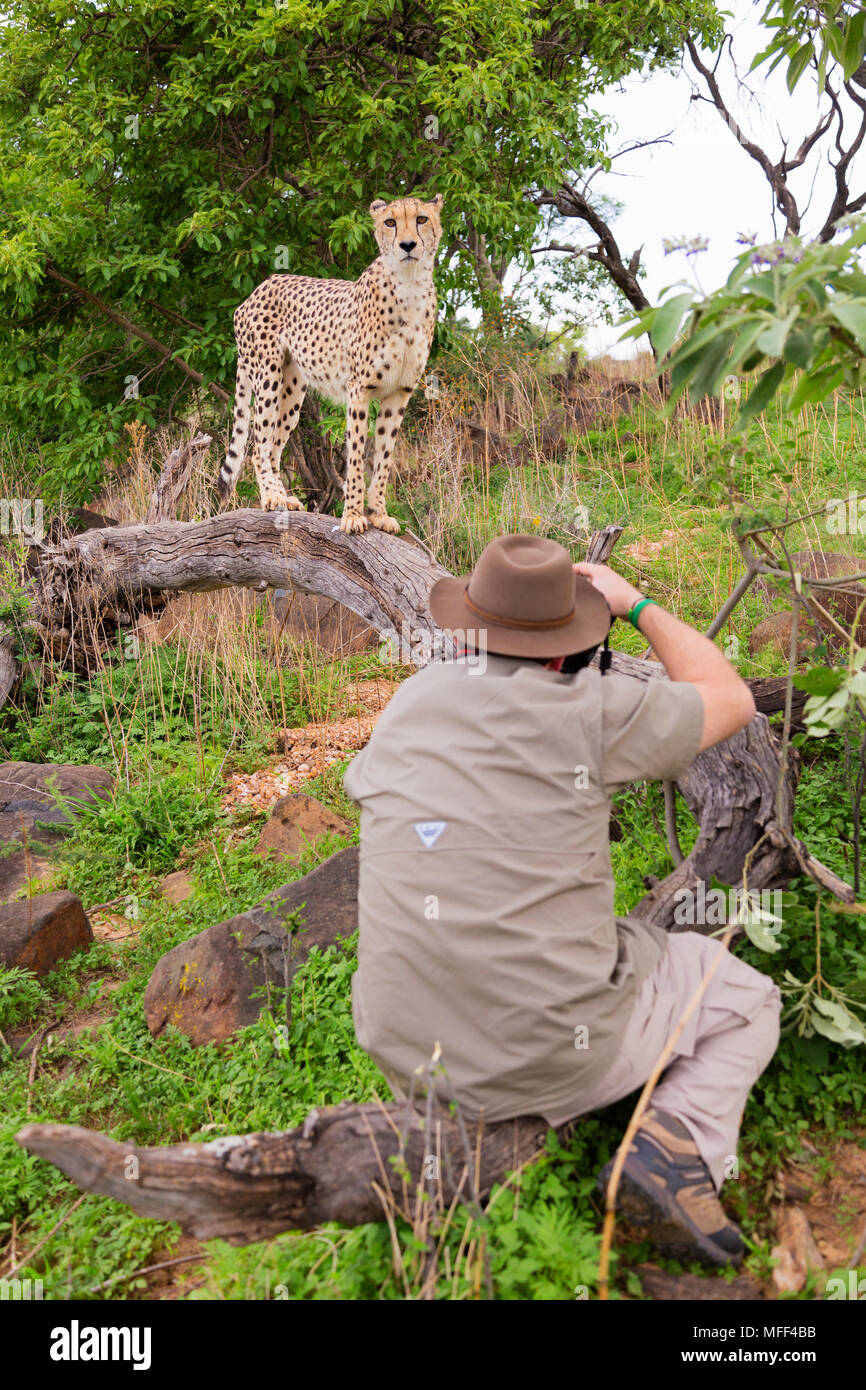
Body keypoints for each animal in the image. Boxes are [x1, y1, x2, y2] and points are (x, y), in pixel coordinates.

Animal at [217, 193, 443, 534]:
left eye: (421, 219)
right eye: (390, 222)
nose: (407, 245)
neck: (409, 285)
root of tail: (261, 285)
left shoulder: (399, 392)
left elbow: (384, 457)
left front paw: (378, 513)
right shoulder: (358, 388)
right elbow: (356, 456)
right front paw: (353, 516)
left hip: (292, 390)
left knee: (274, 446)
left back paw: (285, 498)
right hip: (267, 375)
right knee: (259, 444)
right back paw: (271, 497)